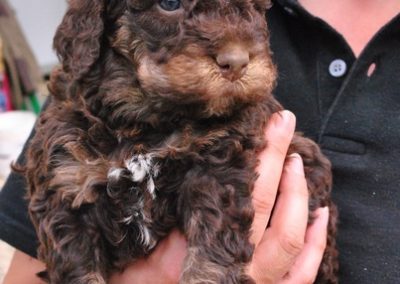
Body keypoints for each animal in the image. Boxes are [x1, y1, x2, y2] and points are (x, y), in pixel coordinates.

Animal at [24, 0, 338, 282]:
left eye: (252, 8)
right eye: (170, 4)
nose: (237, 62)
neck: (145, 122)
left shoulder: (216, 167)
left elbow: (211, 250)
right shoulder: (67, 187)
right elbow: (79, 269)